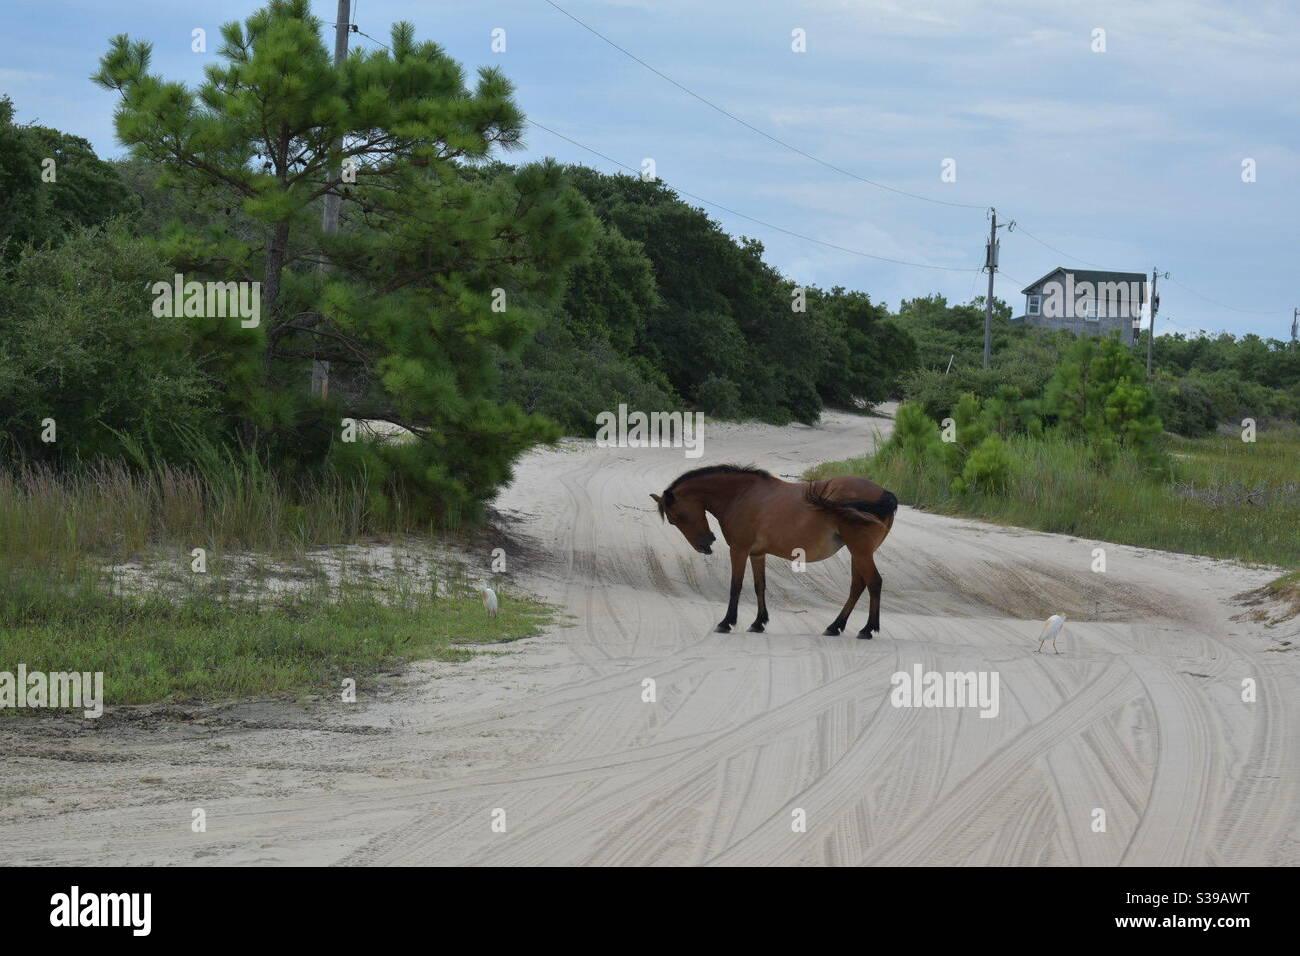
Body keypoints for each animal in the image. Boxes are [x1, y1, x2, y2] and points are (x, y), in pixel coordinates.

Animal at [650, 465, 897, 639]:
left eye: (678, 517)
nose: (705, 544)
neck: (741, 495)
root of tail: (884, 492)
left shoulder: (739, 550)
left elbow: (735, 586)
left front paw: (726, 622)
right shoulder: (756, 554)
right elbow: (760, 586)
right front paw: (758, 623)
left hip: (861, 552)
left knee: (873, 583)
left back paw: (867, 629)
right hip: (858, 553)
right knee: (858, 586)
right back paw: (836, 626)